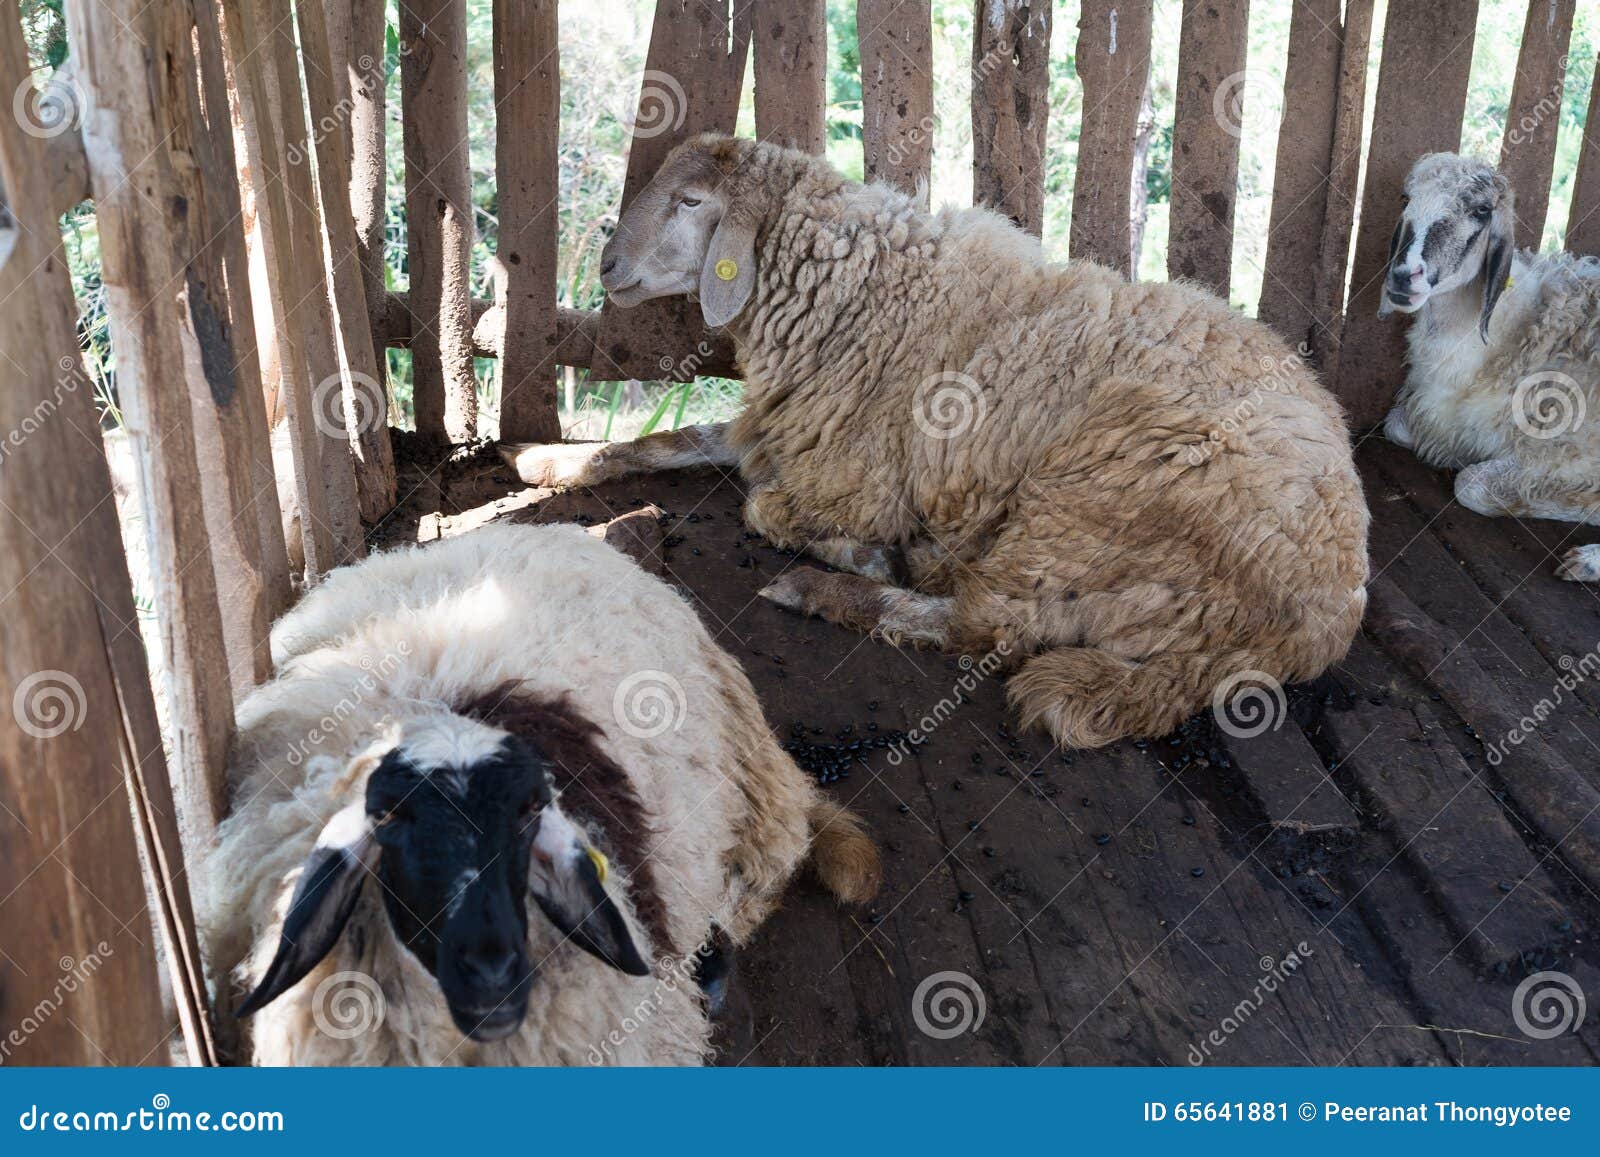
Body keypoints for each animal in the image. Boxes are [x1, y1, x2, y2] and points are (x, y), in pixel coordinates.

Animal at [503, 134, 1370, 749]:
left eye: (689, 200)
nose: (607, 266)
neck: (863, 289)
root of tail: (1323, 615)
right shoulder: (778, 429)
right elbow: (665, 442)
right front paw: (548, 460)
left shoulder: (856, 477)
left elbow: (763, 508)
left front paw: (861, 551)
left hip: (1092, 496)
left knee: (988, 626)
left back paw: (840, 583)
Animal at [1376, 152, 1600, 582]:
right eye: (1406, 198)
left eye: (1481, 211)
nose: (1402, 276)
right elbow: (1397, 426)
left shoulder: (1568, 455)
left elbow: (1473, 486)